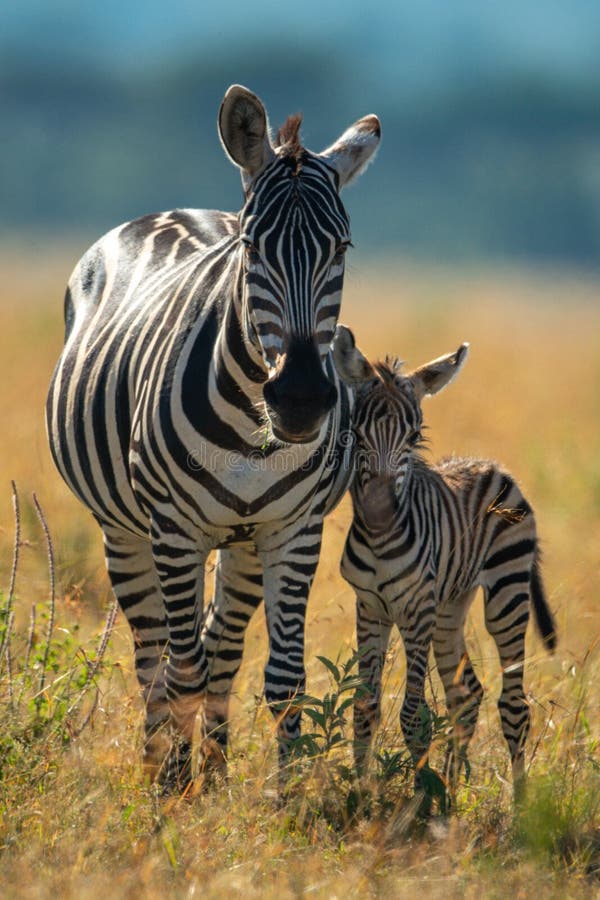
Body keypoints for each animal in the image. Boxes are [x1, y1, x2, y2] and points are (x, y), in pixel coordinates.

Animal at [46, 86, 381, 790]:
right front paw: (176, 791)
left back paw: (218, 772)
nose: (302, 399)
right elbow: (182, 673)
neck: (253, 426)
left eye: (342, 248)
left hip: (244, 541)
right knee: (155, 658)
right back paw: (160, 769)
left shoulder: (294, 530)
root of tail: (177, 210)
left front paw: (285, 797)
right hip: (125, 531)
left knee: (221, 649)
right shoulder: (173, 530)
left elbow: (284, 678)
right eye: (253, 248)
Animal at [332, 325, 556, 802]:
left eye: (415, 434)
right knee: (466, 694)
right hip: (451, 605)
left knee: (513, 705)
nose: (379, 511)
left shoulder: (416, 611)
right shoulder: (370, 607)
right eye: (355, 432)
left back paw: (520, 804)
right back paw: (453, 789)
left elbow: (413, 716)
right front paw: (362, 793)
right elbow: (365, 706)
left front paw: (420, 797)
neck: (381, 541)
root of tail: (494, 466)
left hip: (506, 594)